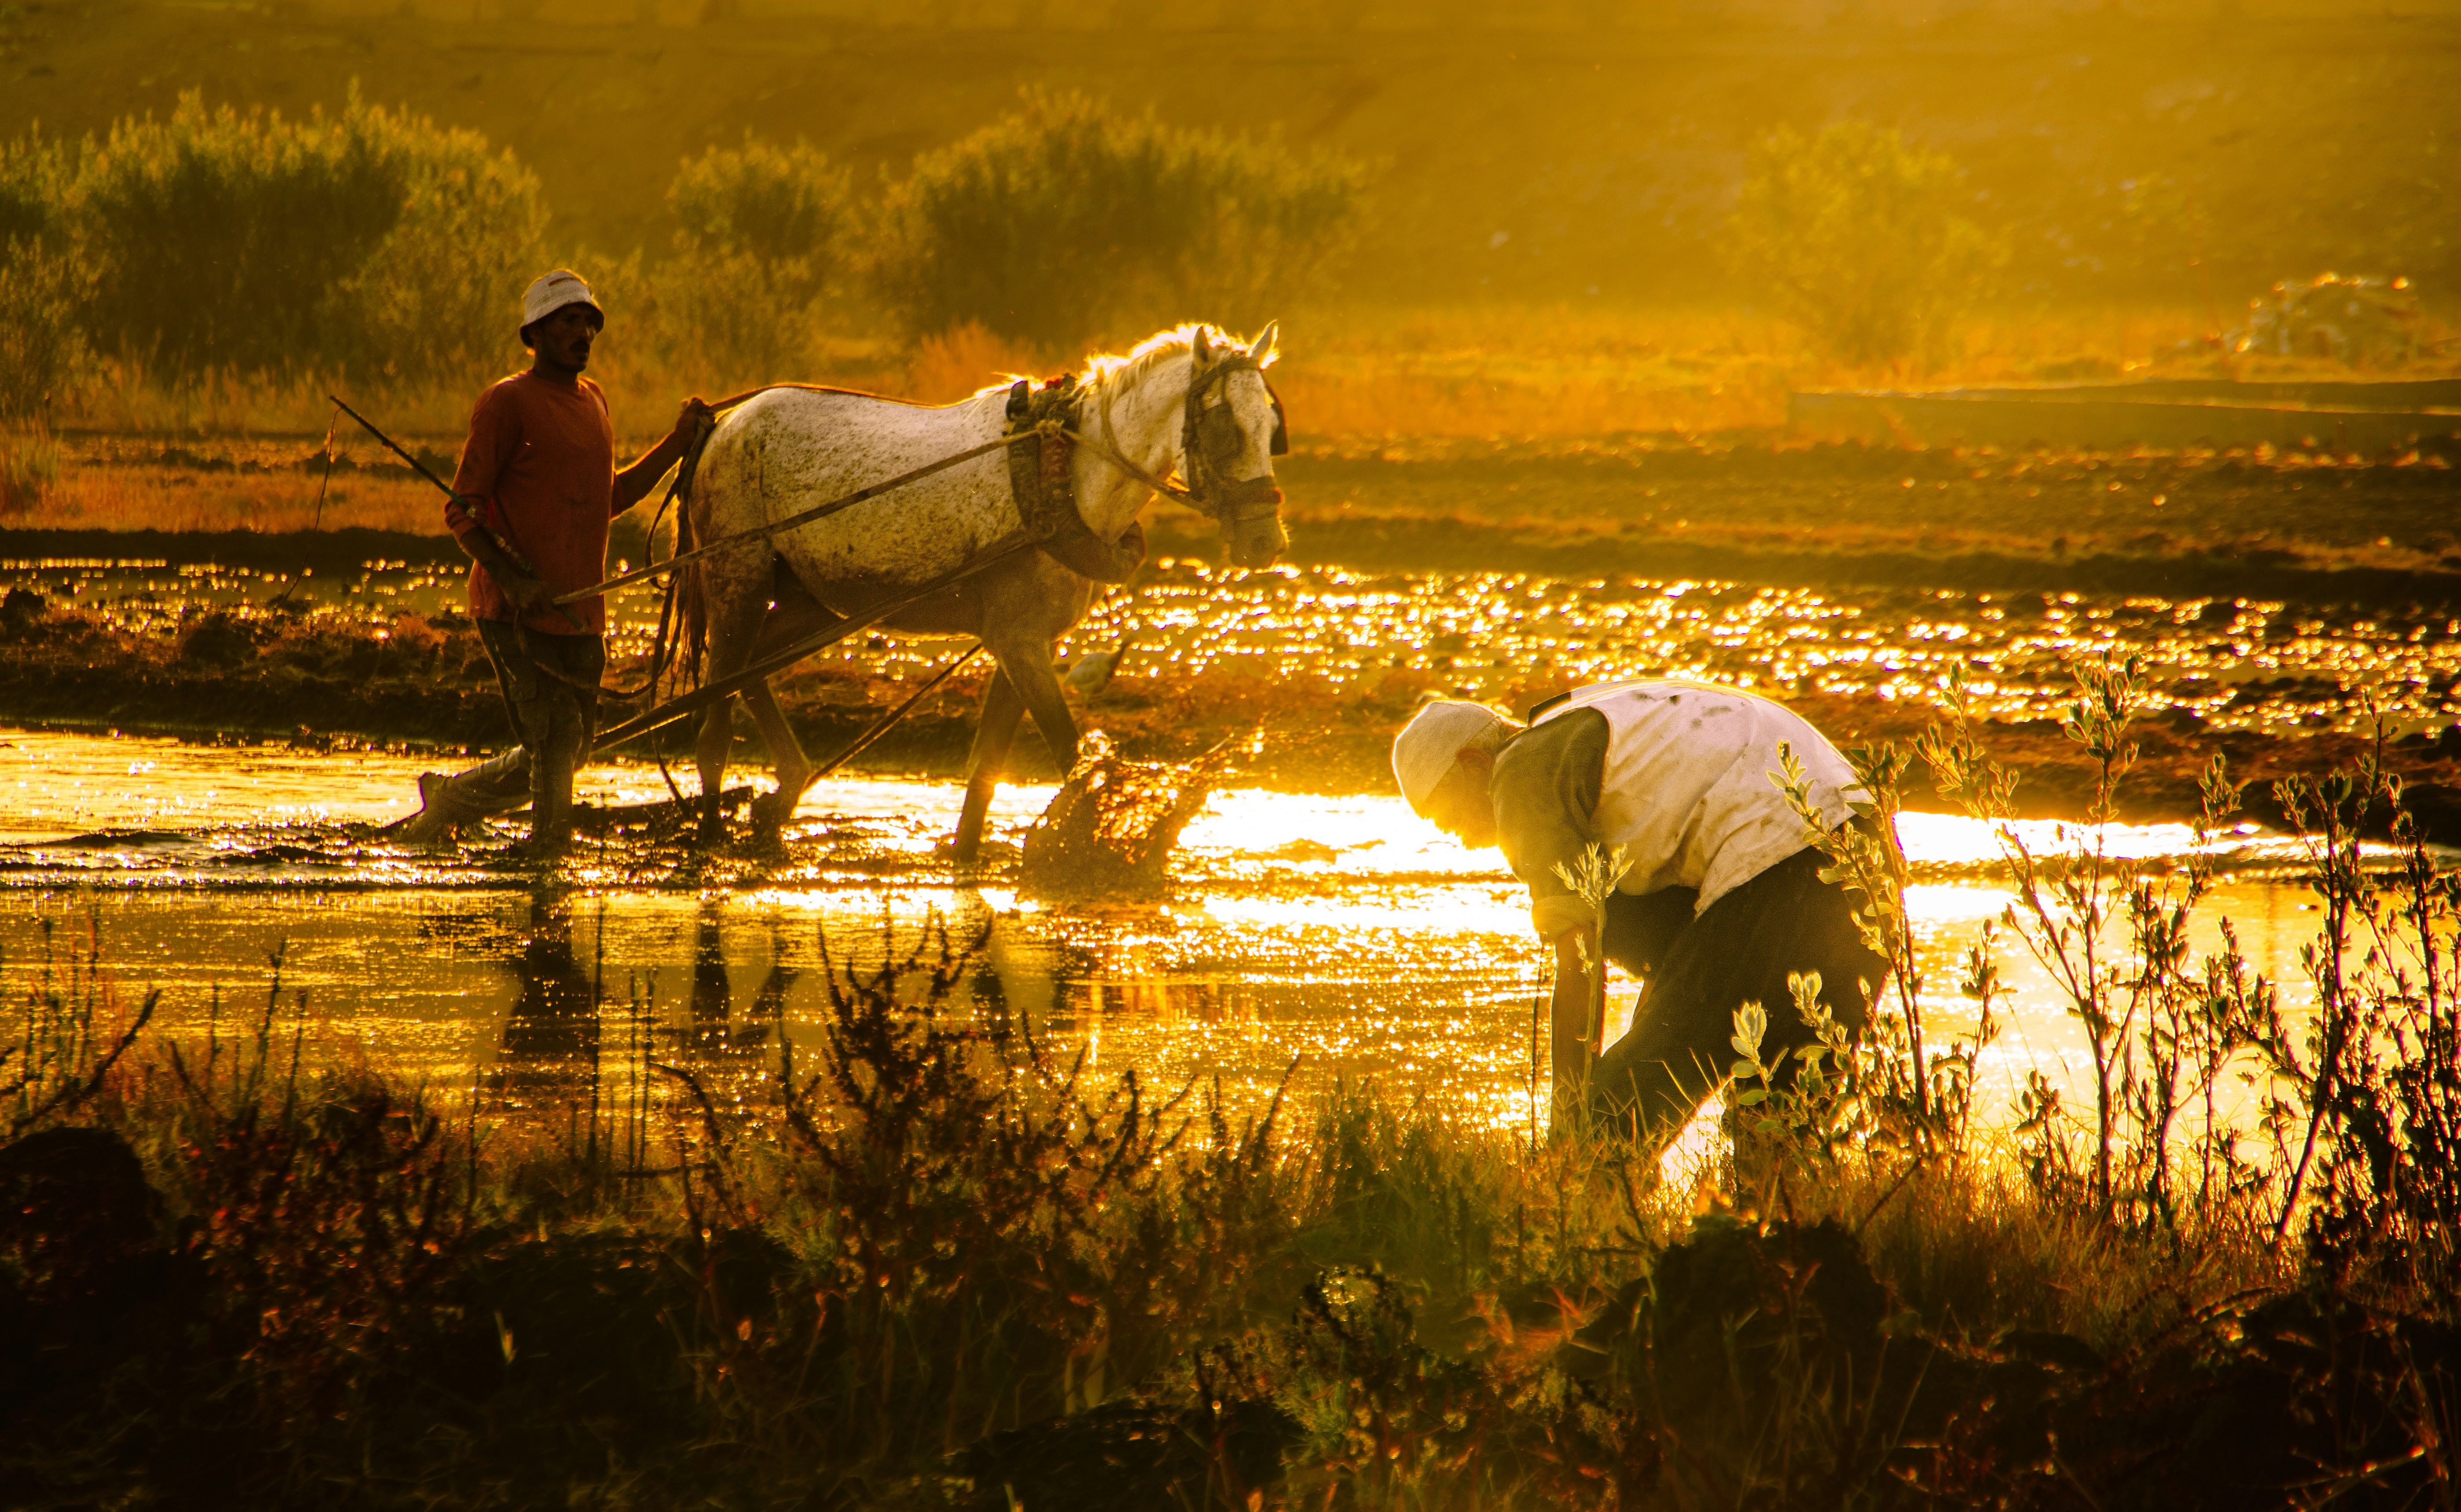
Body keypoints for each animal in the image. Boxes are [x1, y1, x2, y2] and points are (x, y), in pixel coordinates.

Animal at [680, 321, 1289, 858]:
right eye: (1224, 427)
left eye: (1270, 427)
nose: (1266, 543)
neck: (1062, 477)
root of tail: (726, 425)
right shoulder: (1018, 642)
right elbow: (1067, 755)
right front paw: (1088, 849)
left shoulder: (1026, 640)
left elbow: (984, 775)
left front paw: (968, 859)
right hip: (738, 577)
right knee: (715, 719)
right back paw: (710, 836)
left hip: (815, 601)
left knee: (746, 670)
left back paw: (784, 790)